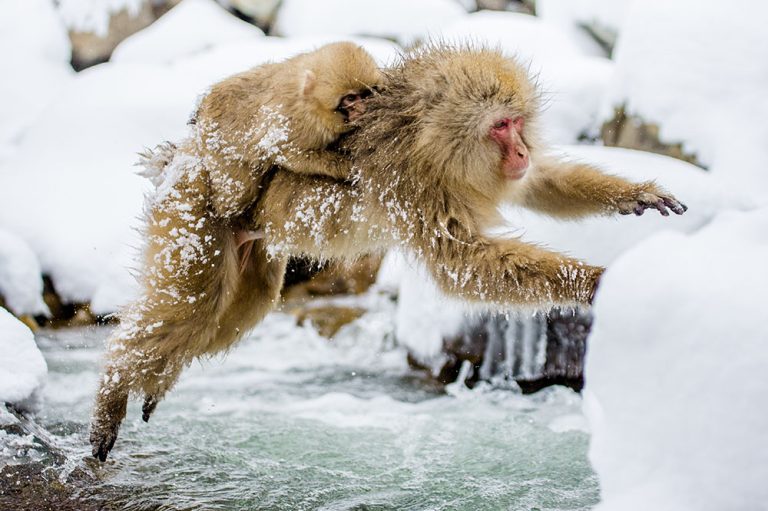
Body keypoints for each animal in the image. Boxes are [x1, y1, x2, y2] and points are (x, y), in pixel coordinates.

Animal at [90, 44, 686, 461]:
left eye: (518, 124)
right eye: (500, 126)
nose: (521, 149)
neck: (431, 144)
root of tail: (182, 157)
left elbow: (538, 184)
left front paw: (635, 196)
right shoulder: (414, 190)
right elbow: (462, 267)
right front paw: (597, 282)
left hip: (245, 242)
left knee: (235, 312)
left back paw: (156, 384)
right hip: (195, 211)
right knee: (185, 308)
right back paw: (114, 389)